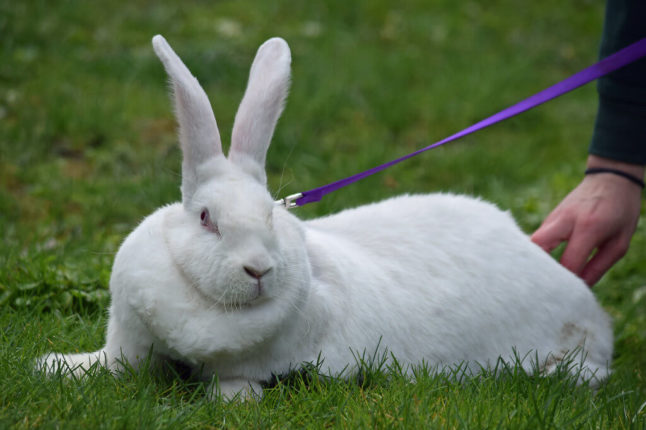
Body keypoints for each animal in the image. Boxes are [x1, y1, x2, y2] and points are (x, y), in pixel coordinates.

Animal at [36, 34, 613, 400]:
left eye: (271, 219)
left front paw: (236, 405)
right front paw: (55, 367)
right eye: (205, 218)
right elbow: (111, 363)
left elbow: (234, 386)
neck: (205, 307)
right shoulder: (128, 340)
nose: (259, 270)